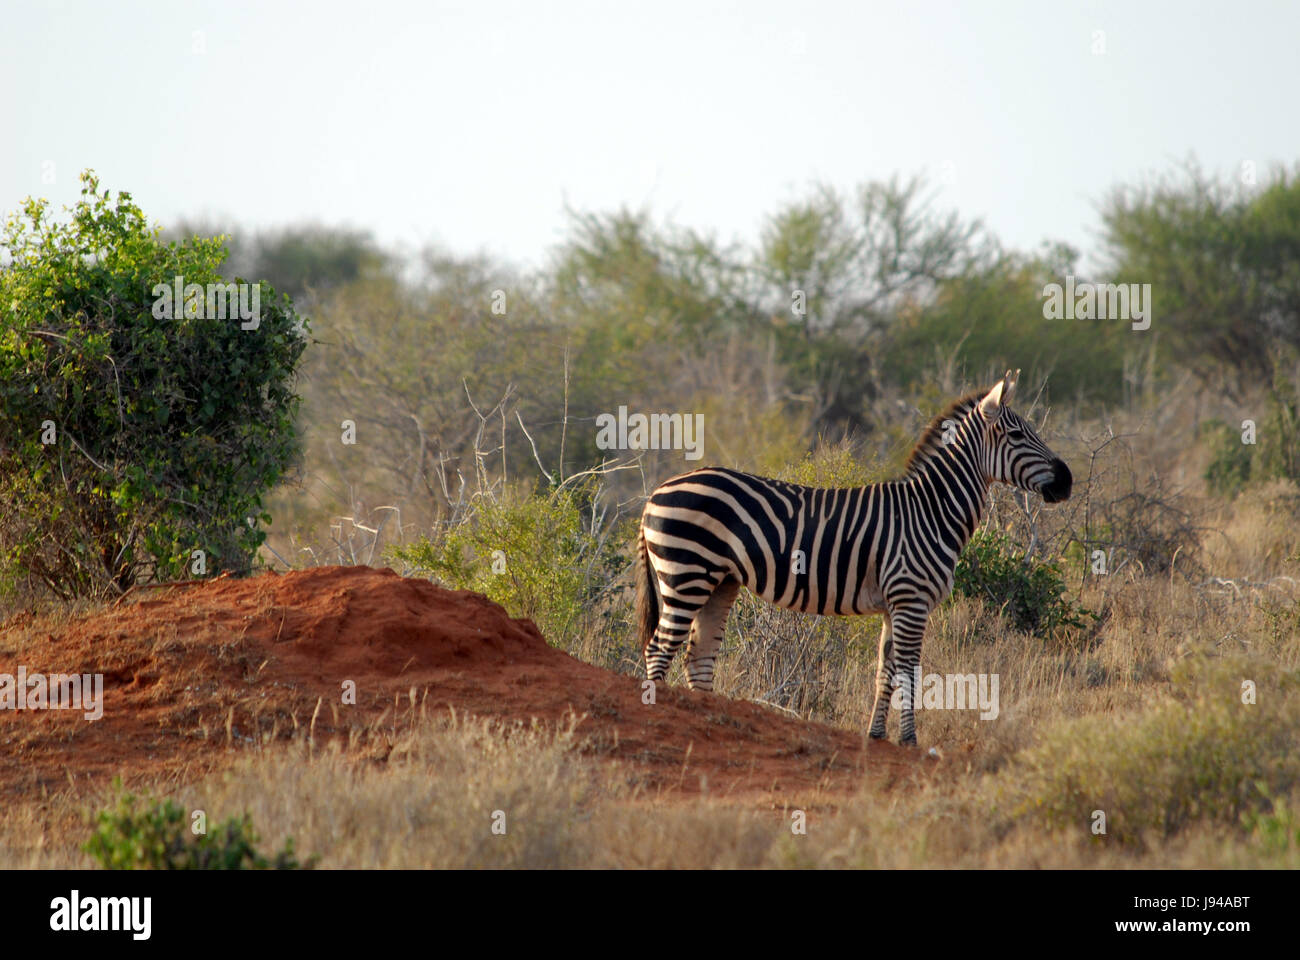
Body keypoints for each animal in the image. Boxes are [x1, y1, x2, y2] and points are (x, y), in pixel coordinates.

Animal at [634, 370, 1072, 746]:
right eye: (1016, 434)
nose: (1067, 481)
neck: (931, 511)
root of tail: (656, 493)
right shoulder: (911, 599)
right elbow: (909, 672)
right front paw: (910, 741)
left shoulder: (893, 606)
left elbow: (884, 671)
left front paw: (876, 736)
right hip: (686, 574)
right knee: (659, 649)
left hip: (719, 581)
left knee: (698, 656)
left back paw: (710, 722)